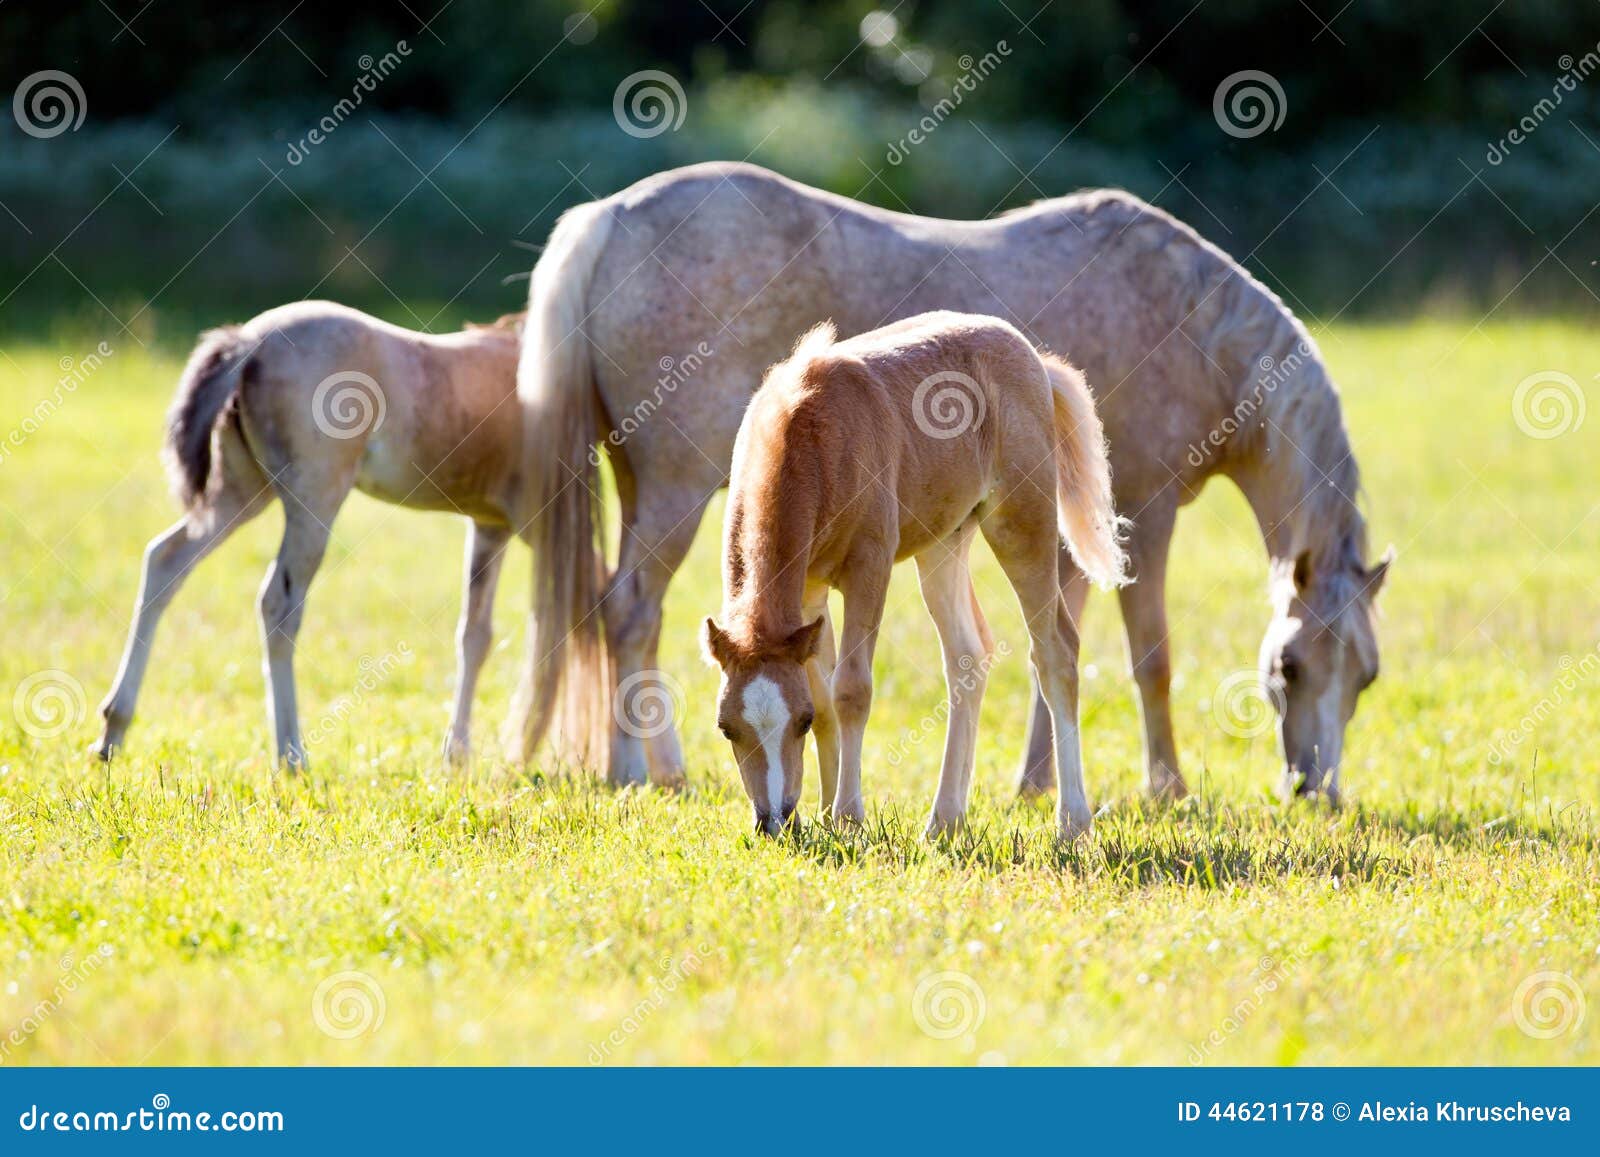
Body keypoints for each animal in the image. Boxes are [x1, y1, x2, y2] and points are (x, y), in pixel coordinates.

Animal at [94, 301, 527, 768]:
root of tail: (249, 342)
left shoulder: (490, 525)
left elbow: (477, 634)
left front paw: (458, 755)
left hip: (241, 493)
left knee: (166, 560)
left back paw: (114, 729)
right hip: (314, 504)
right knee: (278, 604)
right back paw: (291, 755)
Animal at [703, 313, 1126, 838]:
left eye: (797, 722)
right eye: (726, 728)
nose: (775, 821)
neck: (811, 431)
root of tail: (1037, 363)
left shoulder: (869, 568)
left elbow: (850, 690)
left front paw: (847, 818)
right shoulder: (808, 594)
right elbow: (825, 697)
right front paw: (824, 814)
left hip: (1021, 526)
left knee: (1055, 651)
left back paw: (1072, 822)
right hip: (944, 545)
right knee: (968, 655)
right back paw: (945, 819)